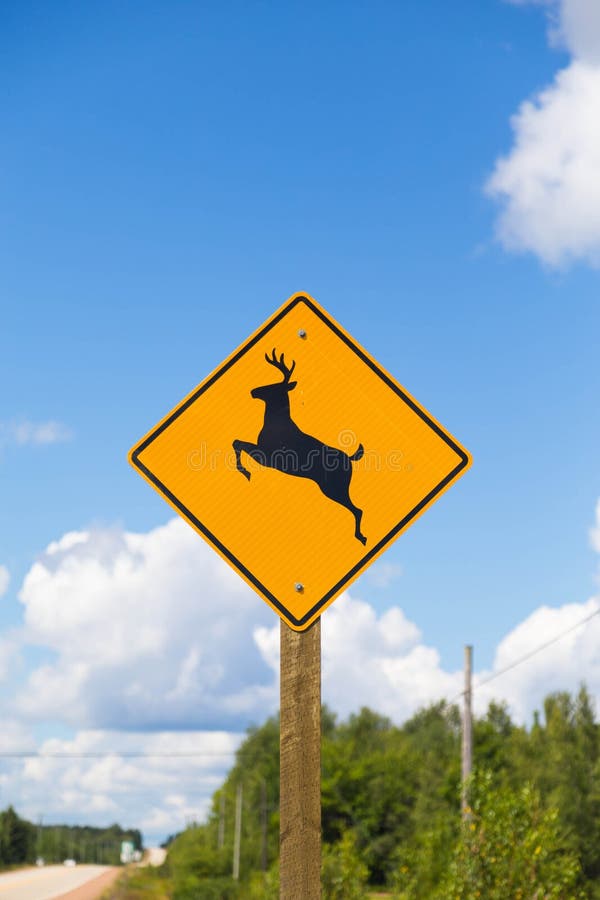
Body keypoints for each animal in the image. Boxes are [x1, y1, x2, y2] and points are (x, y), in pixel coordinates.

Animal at [233, 349, 367, 545]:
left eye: (273, 386)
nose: (253, 391)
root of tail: (350, 459)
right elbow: (237, 442)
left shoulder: (268, 458)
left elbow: (237, 443)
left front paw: (246, 472)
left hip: (334, 487)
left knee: (358, 509)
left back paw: (361, 537)